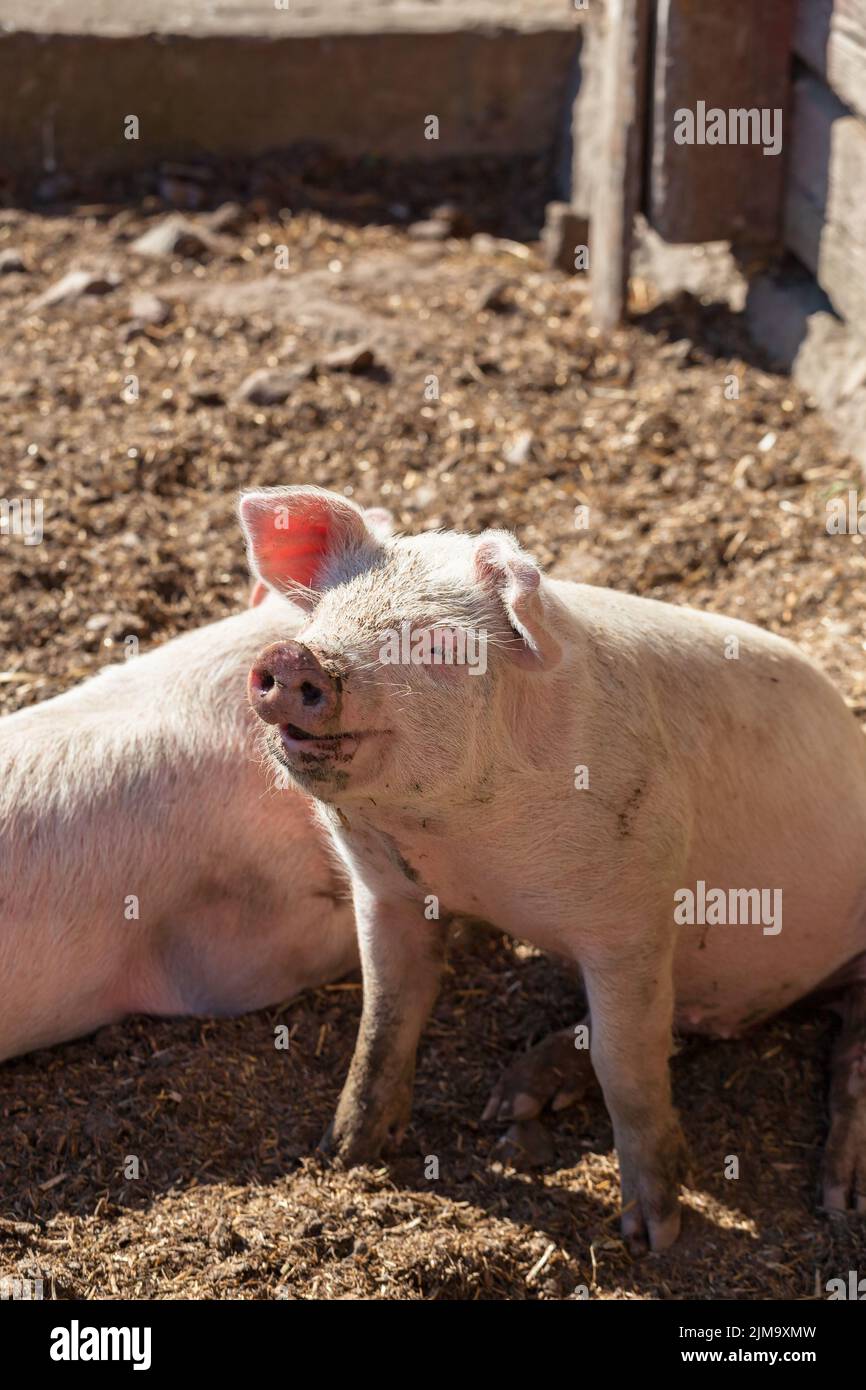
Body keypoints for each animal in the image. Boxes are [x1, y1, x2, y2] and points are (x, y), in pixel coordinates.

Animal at [242, 484, 866, 1252]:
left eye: (440, 644)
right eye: (325, 616)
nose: (296, 655)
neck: (465, 855)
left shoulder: (635, 914)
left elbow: (627, 1064)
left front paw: (653, 1235)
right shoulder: (386, 892)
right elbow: (385, 1018)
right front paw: (344, 1155)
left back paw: (839, 1198)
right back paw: (512, 1099)